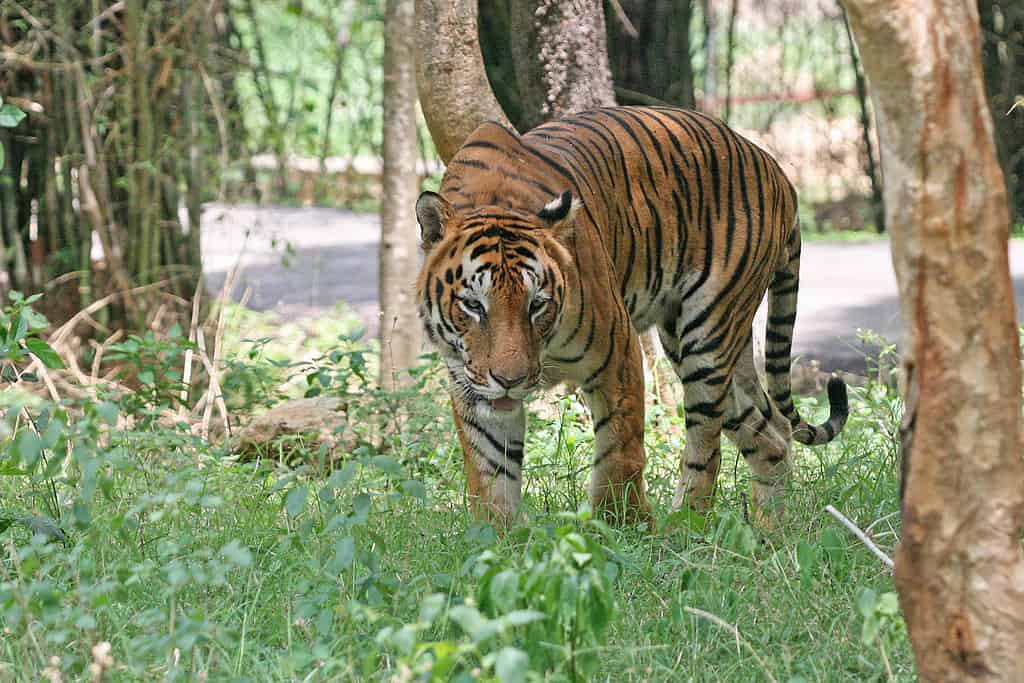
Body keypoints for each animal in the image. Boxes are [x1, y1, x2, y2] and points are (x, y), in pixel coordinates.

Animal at [414, 105, 848, 528]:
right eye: (474, 305)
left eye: (537, 304)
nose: (511, 381)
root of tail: (776, 169)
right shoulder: (470, 382)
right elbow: (490, 474)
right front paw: (497, 538)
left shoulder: (616, 351)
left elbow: (619, 451)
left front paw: (623, 526)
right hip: (711, 346)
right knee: (773, 434)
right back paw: (770, 532)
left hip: (706, 335)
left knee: (706, 445)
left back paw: (683, 528)